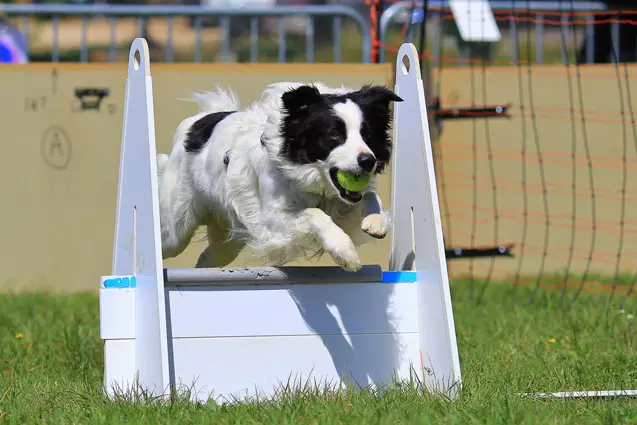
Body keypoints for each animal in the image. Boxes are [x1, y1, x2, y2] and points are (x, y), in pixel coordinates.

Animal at [156, 81, 400, 270]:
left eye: (368, 134)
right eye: (334, 134)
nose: (368, 161)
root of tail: (198, 120)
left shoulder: (341, 203)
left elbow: (369, 197)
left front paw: (376, 221)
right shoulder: (271, 221)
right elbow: (314, 213)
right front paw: (344, 251)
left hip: (226, 240)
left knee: (206, 260)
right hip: (176, 231)